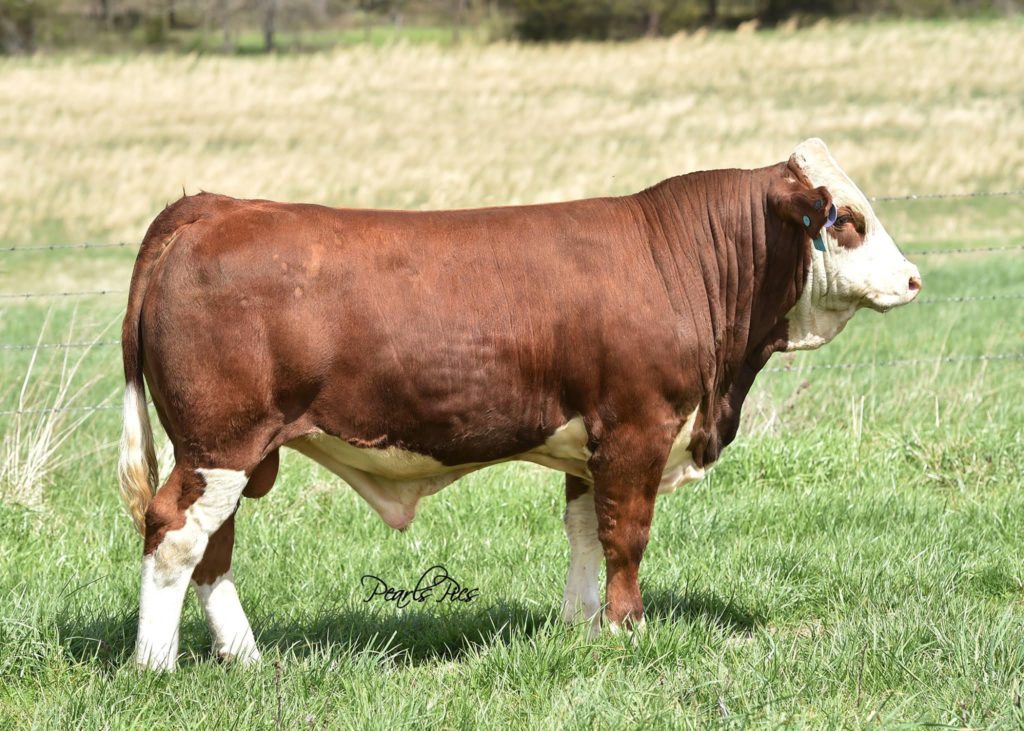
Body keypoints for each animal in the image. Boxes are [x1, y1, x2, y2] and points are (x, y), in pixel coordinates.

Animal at [118, 138, 921, 671]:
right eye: (848, 218)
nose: (913, 278)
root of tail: (210, 207)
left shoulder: (591, 442)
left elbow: (585, 531)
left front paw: (581, 627)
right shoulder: (638, 425)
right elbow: (626, 535)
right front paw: (627, 631)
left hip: (231, 451)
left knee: (213, 547)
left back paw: (247, 660)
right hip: (221, 440)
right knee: (174, 534)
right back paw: (156, 666)